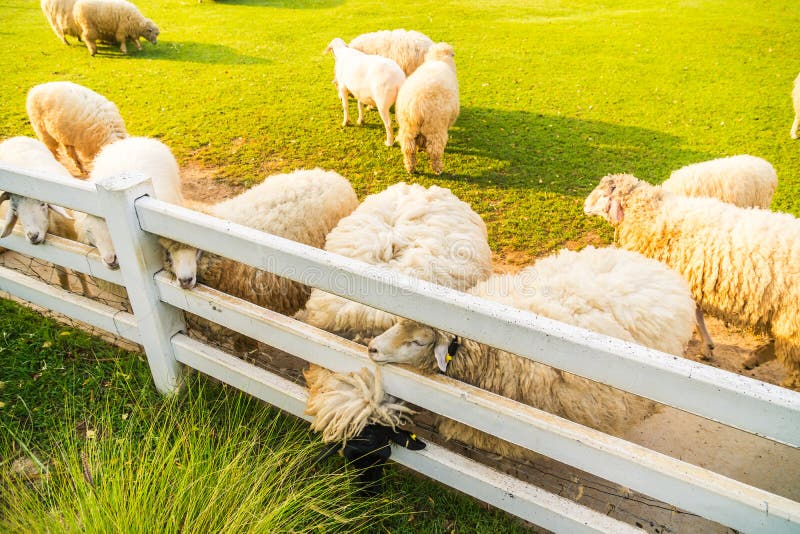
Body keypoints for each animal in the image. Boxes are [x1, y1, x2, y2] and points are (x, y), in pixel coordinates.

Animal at [0, 136, 90, 295]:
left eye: (43, 204)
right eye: (15, 209)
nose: (33, 236)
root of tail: (14, 138)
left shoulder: (74, 241)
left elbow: (80, 272)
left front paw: (88, 295)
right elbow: (61, 274)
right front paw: (66, 291)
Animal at [396, 43, 459, 175]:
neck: (439, 59)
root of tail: (416, 104)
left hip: (408, 126)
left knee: (408, 149)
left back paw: (410, 168)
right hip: (435, 126)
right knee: (434, 150)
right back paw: (438, 169)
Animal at [584, 173, 800, 389]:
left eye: (604, 194)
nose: (585, 206)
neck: (650, 214)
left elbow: (695, 316)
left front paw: (705, 346)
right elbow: (697, 315)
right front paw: (708, 346)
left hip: (791, 317)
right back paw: (753, 360)